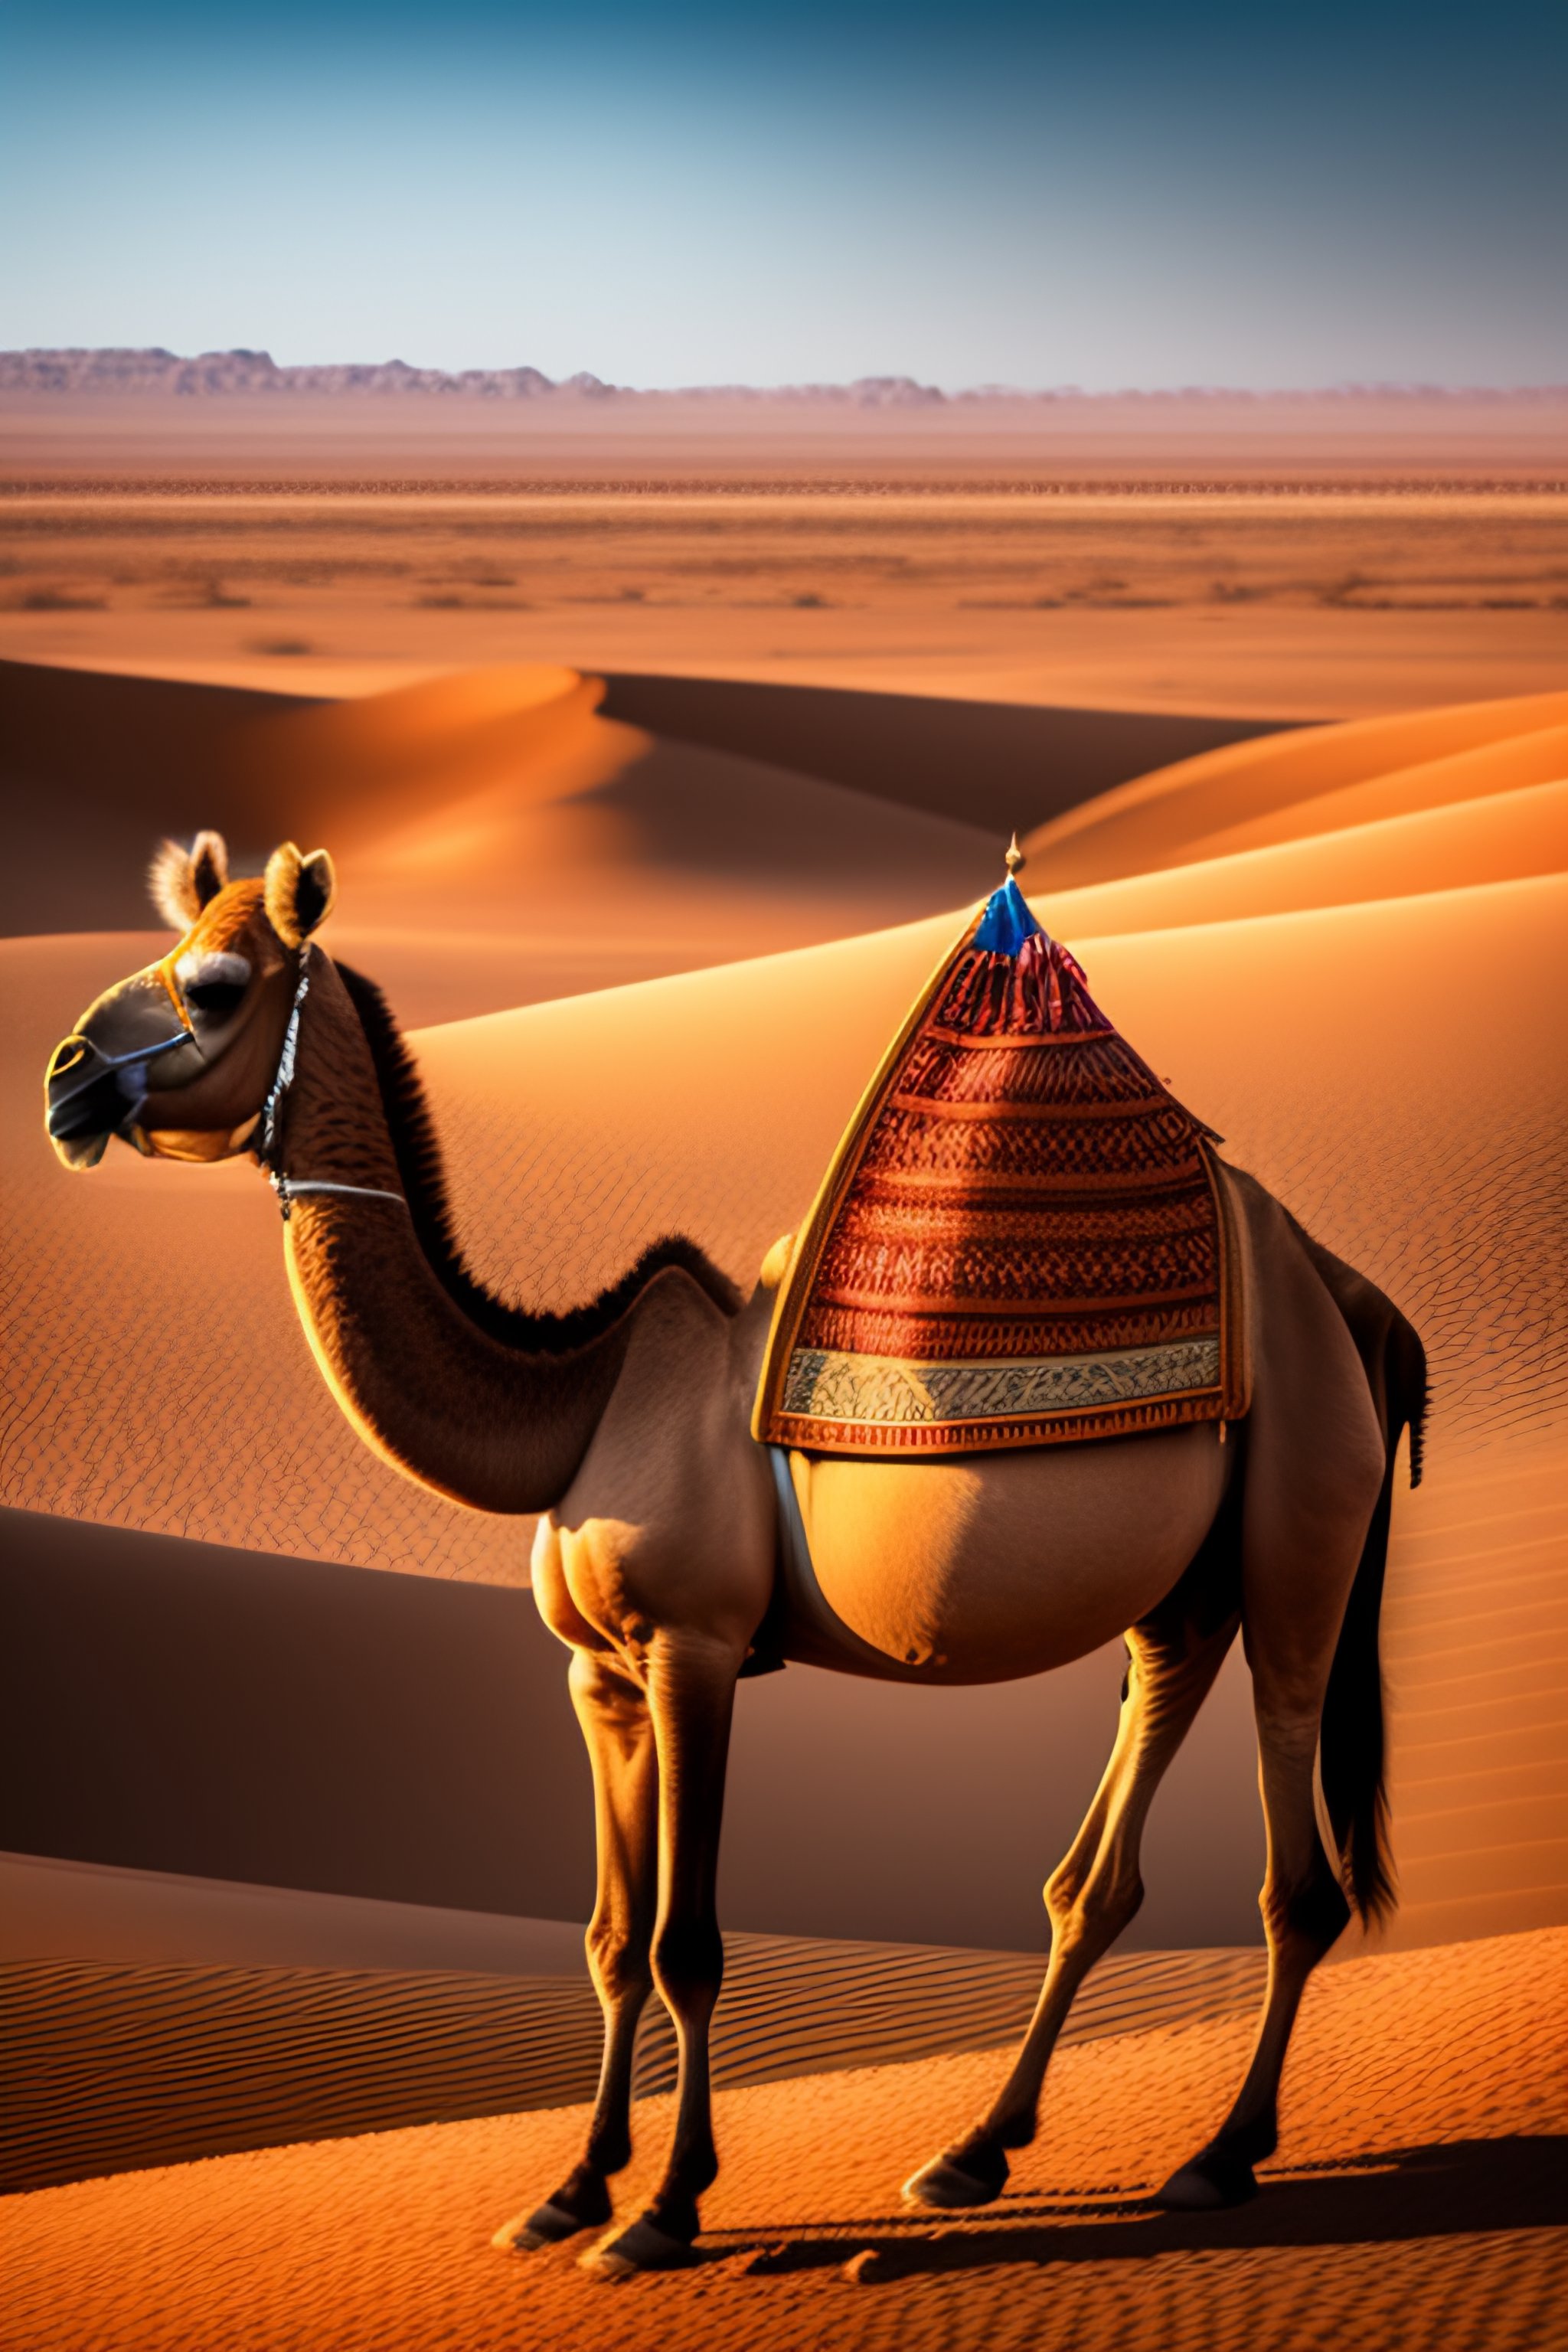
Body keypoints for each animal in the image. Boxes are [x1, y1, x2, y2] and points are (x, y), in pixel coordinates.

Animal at [45, 832, 1426, 2278]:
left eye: (214, 982)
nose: (64, 1079)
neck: (576, 1406)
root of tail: (1353, 1300)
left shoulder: (693, 1648)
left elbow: (683, 1942)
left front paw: (662, 2211)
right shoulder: (598, 1674)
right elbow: (605, 1936)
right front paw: (568, 2191)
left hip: (1301, 1537)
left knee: (1299, 1866)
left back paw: (1219, 2156)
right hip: (1187, 1583)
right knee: (1108, 1840)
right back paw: (969, 2153)